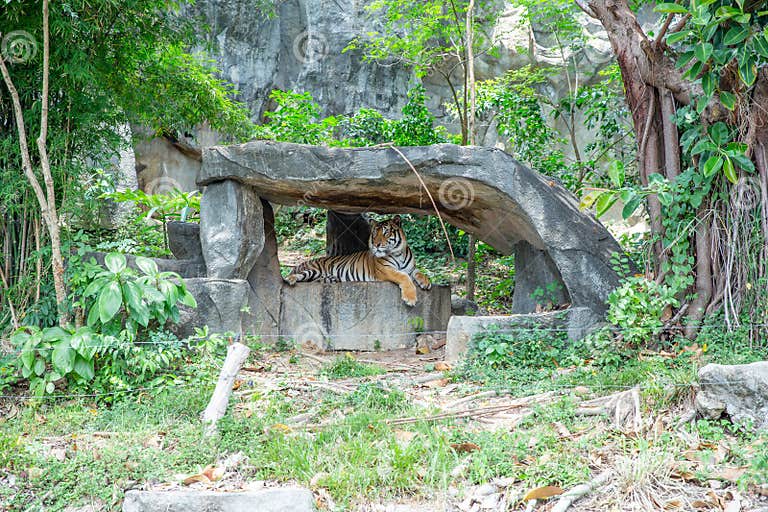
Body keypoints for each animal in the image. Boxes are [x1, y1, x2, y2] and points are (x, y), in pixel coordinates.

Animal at [284, 215, 431, 306]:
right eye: (374, 233)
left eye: (386, 232)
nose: (376, 244)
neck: (398, 253)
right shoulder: (384, 269)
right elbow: (403, 276)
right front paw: (410, 298)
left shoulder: (411, 268)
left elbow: (419, 273)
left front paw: (426, 283)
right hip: (312, 271)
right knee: (299, 277)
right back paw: (290, 279)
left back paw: (330, 279)